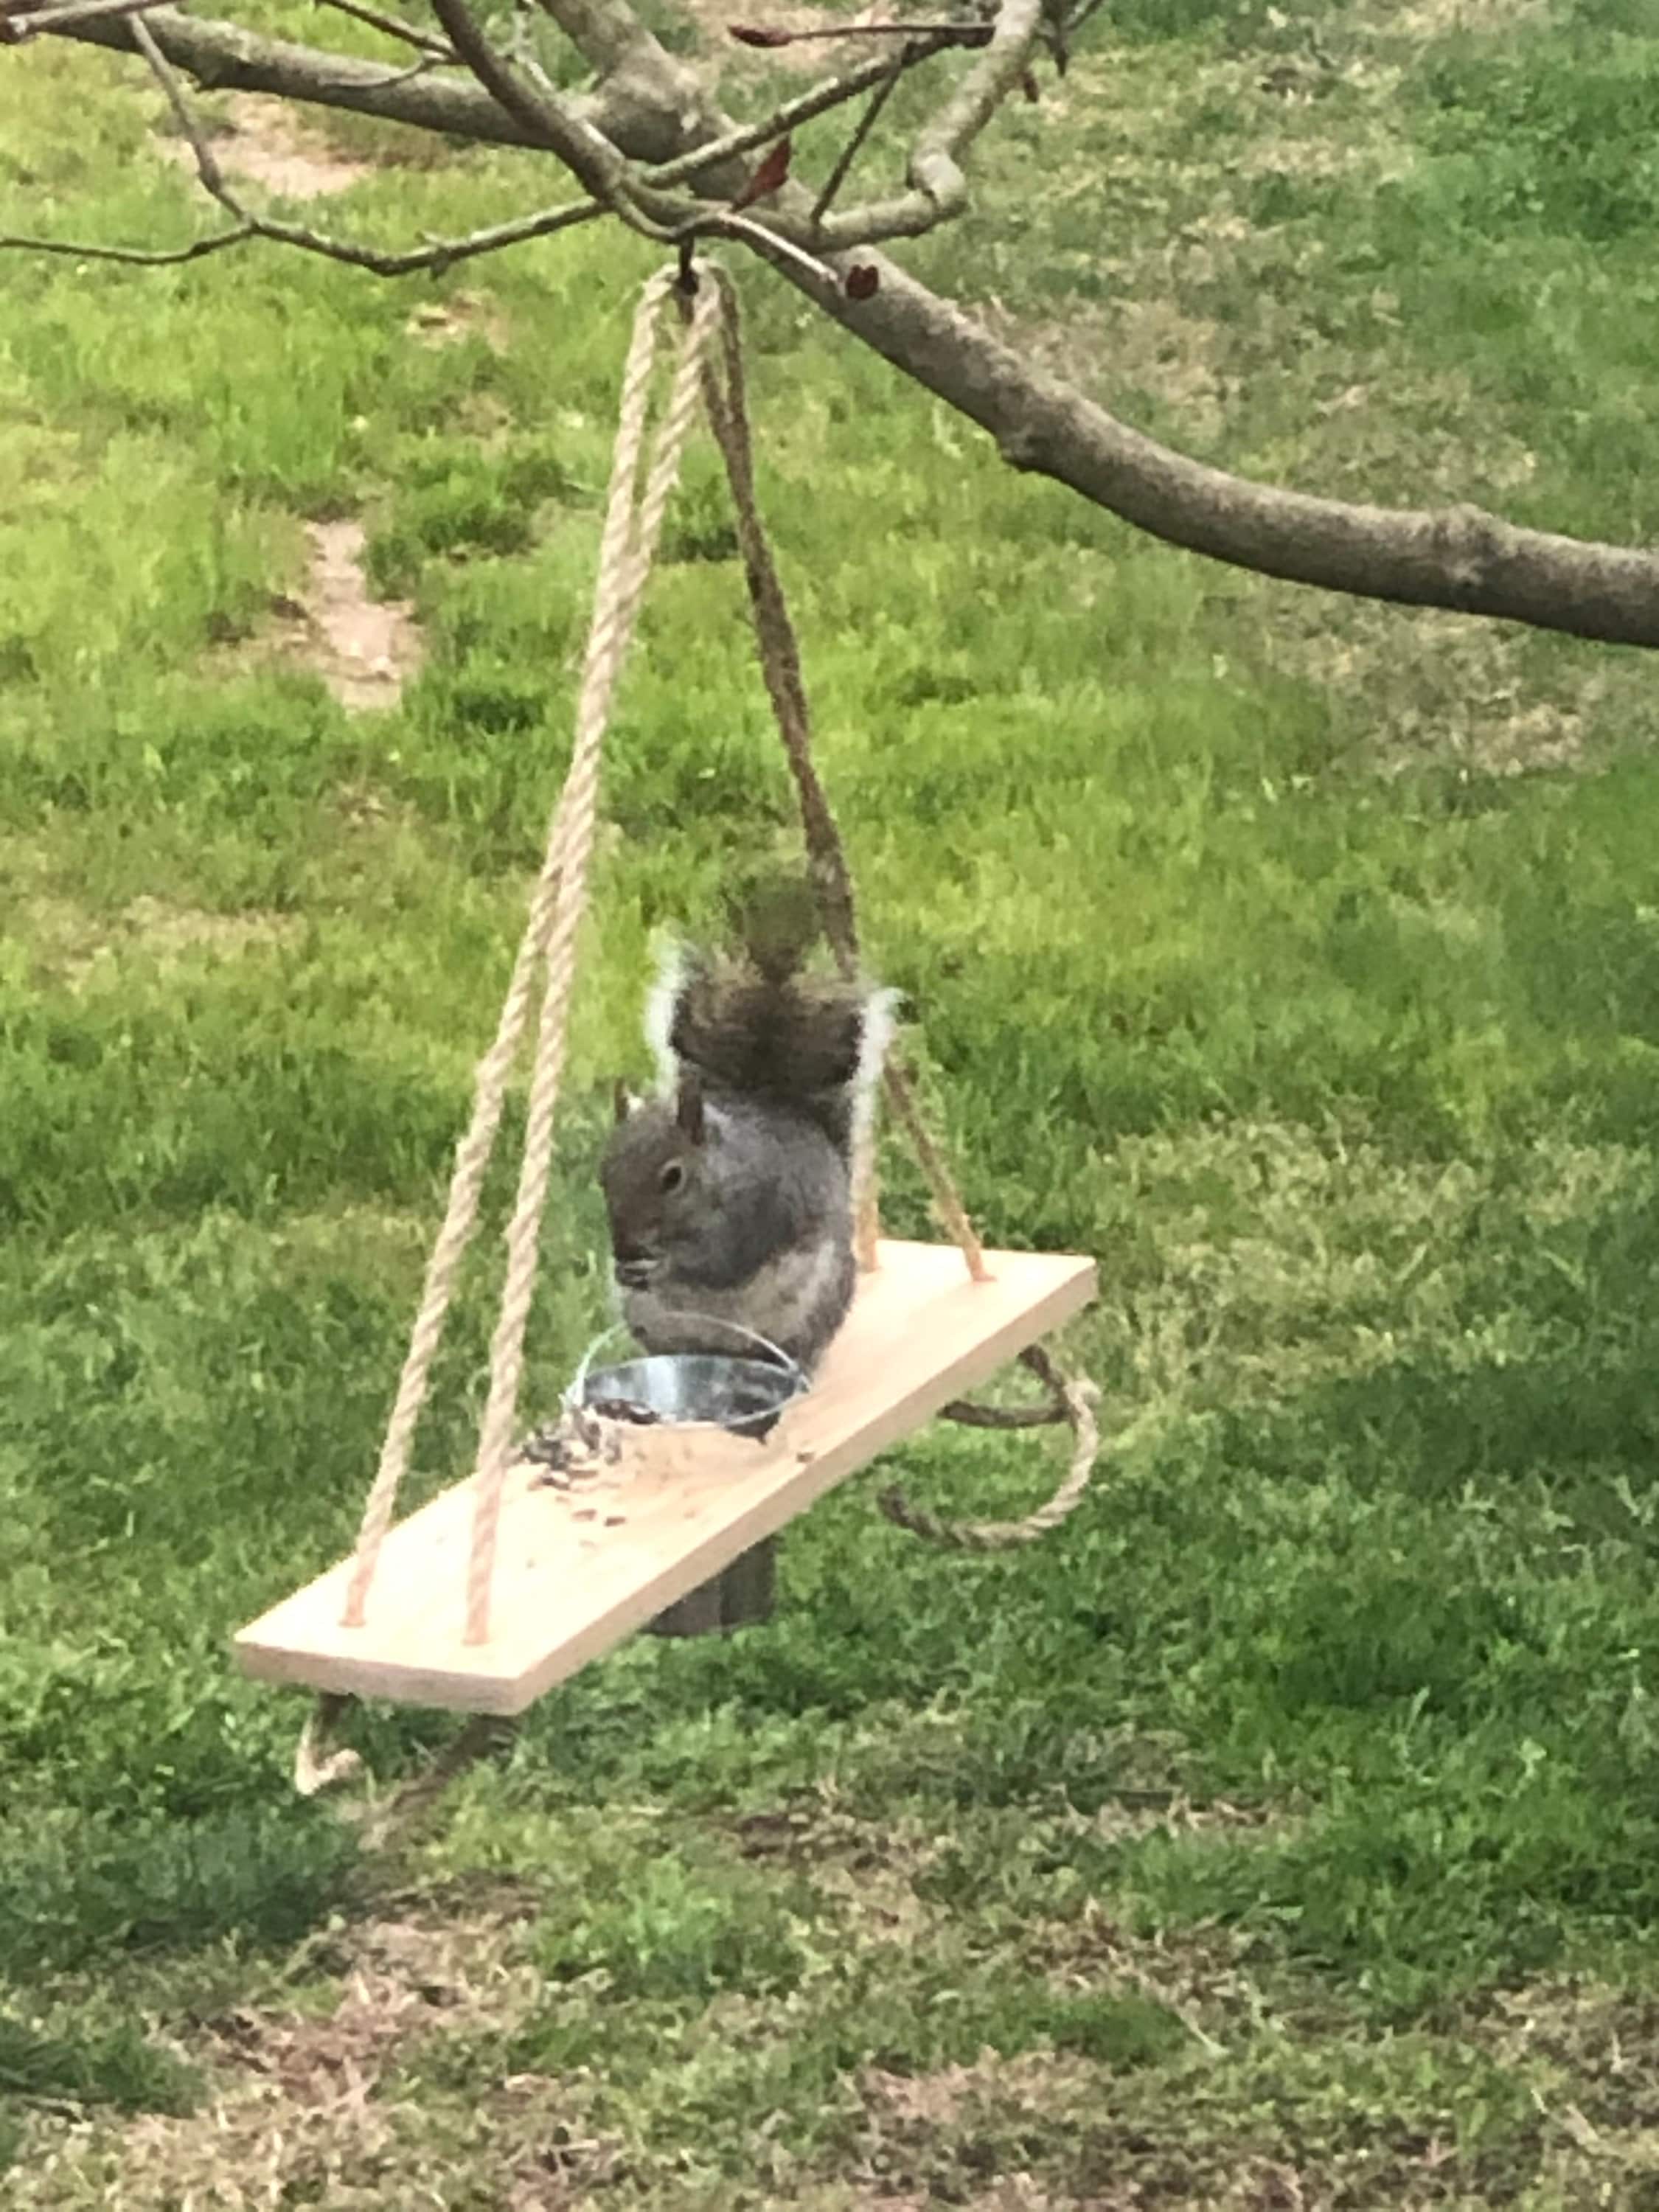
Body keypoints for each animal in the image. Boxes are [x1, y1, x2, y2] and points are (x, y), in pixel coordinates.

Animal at [599, 889, 895, 1376]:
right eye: (602, 1174)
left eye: (672, 1177)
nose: (624, 1250)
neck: (722, 1172)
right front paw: (626, 1269)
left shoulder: (759, 1210)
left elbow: (723, 1261)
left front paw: (662, 1266)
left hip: (814, 1304)